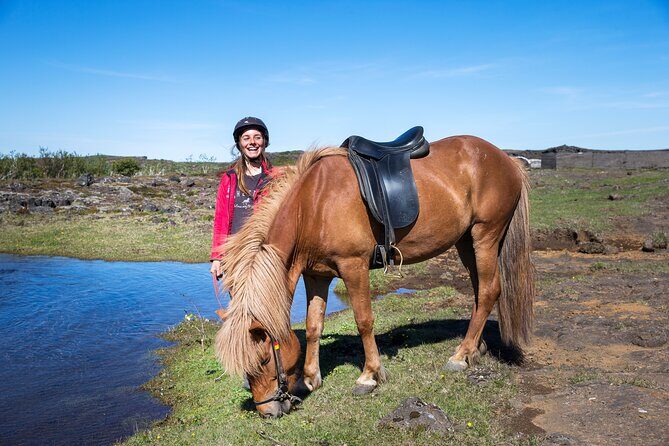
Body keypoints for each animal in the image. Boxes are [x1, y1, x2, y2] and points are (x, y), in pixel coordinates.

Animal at [214, 135, 535, 418]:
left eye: (264, 359)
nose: (267, 411)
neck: (313, 206)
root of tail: (506, 159)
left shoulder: (353, 267)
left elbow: (364, 321)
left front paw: (369, 375)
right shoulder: (316, 276)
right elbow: (314, 325)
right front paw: (310, 378)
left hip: (485, 236)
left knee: (489, 290)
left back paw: (460, 355)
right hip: (466, 242)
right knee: (481, 291)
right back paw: (474, 348)